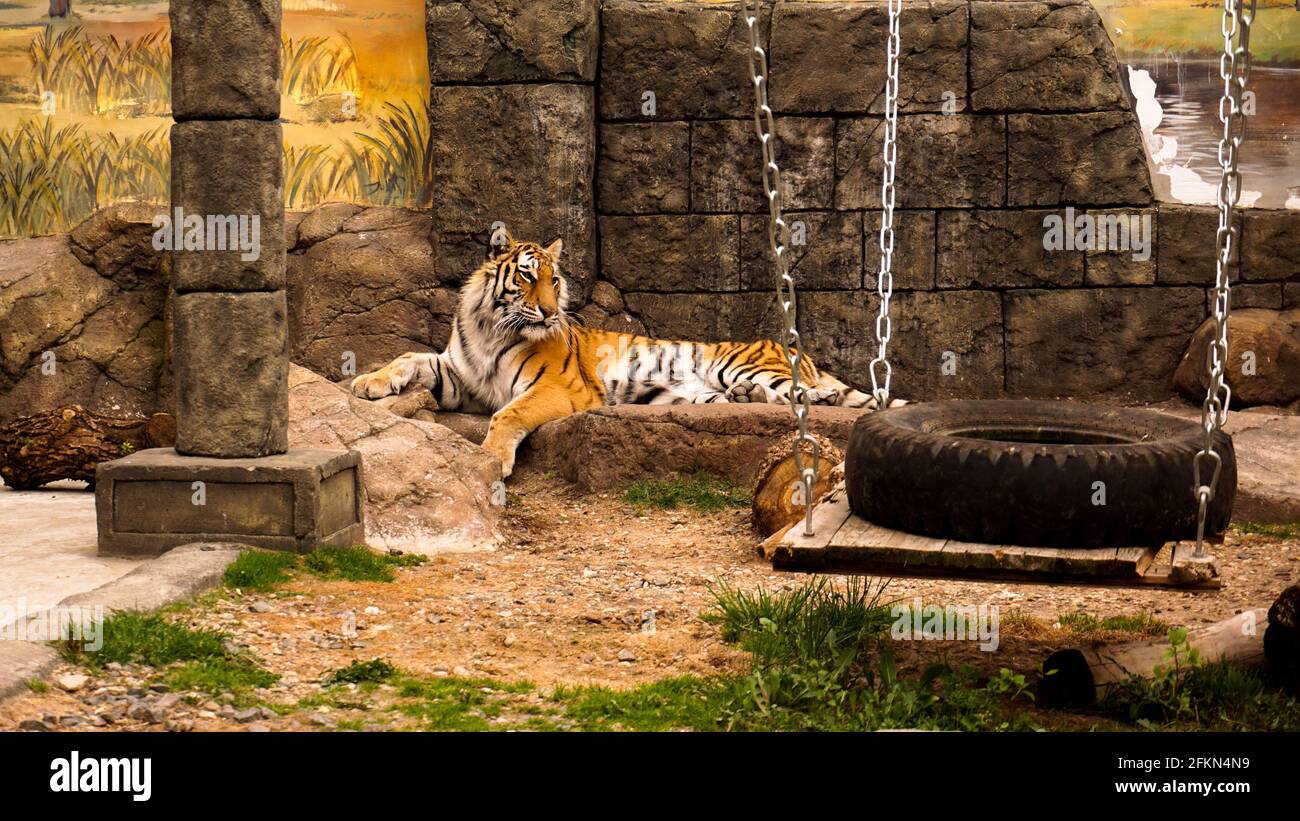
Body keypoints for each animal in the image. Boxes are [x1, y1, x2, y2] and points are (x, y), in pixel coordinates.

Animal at [350, 232, 901, 477]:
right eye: (527, 276)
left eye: (555, 280)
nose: (551, 312)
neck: (490, 327)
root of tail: (800, 351)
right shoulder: (460, 375)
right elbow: (410, 357)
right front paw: (368, 382)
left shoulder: (560, 389)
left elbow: (509, 415)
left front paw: (491, 459)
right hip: (697, 394)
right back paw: (746, 398)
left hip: (743, 364)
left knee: (818, 397)